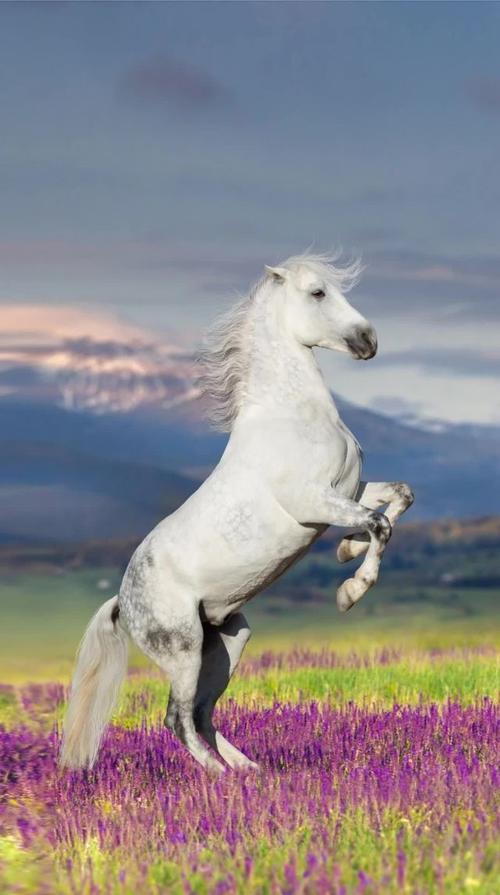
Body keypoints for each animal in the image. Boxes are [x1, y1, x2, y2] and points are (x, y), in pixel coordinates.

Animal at [60, 252, 414, 775]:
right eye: (317, 293)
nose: (368, 341)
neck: (292, 414)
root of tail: (123, 601)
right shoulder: (313, 502)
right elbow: (380, 523)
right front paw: (349, 592)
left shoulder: (347, 490)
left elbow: (399, 497)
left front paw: (347, 552)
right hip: (183, 649)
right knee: (177, 716)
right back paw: (217, 776)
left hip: (228, 640)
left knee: (203, 712)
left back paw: (250, 771)